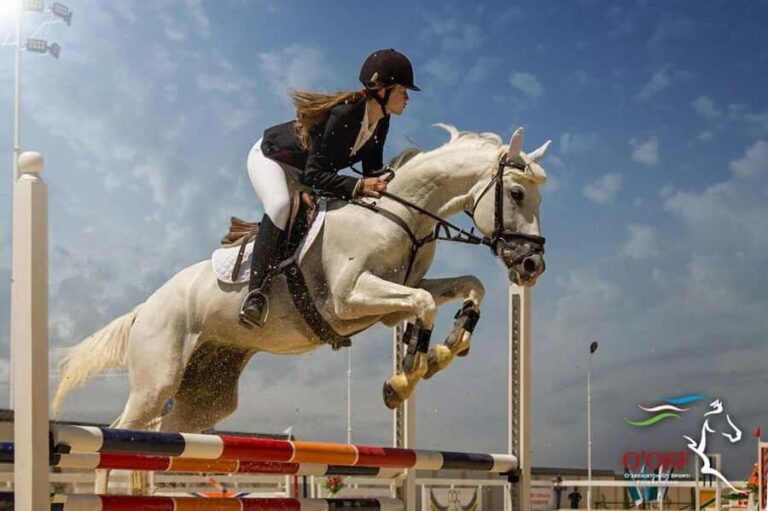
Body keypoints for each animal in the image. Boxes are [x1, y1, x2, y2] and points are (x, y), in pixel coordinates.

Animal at [51, 123, 549, 450]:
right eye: (517, 194)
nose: (532, 265)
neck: (401, 214)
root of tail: (143, 309)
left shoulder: (392, 297)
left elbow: (467, 287)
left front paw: (448, 346)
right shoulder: (348, 299)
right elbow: (424, 303)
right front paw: (408, 373)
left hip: (207, 396)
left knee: (164, 429)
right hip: (156, 378)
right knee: (124, 426)